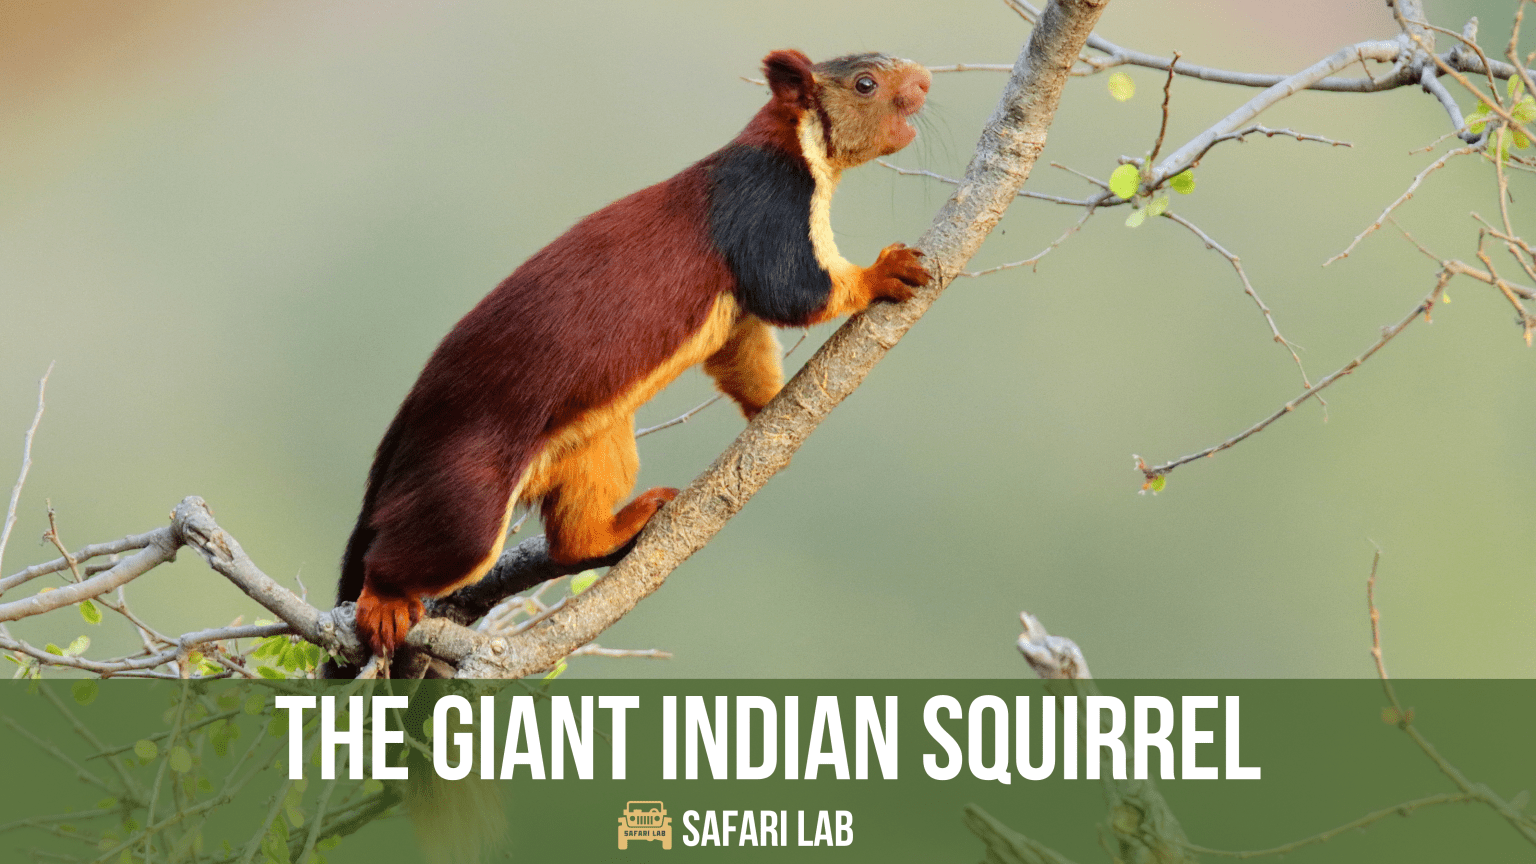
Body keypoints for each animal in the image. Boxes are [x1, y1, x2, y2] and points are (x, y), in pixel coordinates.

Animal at [331, 49, 932, 672]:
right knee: (406, 553)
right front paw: (886, 271)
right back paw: (384, 603)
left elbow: (743, 356)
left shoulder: (736, 316)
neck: (790, 150)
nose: (925, 79)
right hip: (468, 488)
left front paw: (774, 410)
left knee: (573, 540)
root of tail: (409, 420)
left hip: (595, 443)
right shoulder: (767, 208)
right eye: (865, 83)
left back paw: (631, 519)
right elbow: (795, 292)